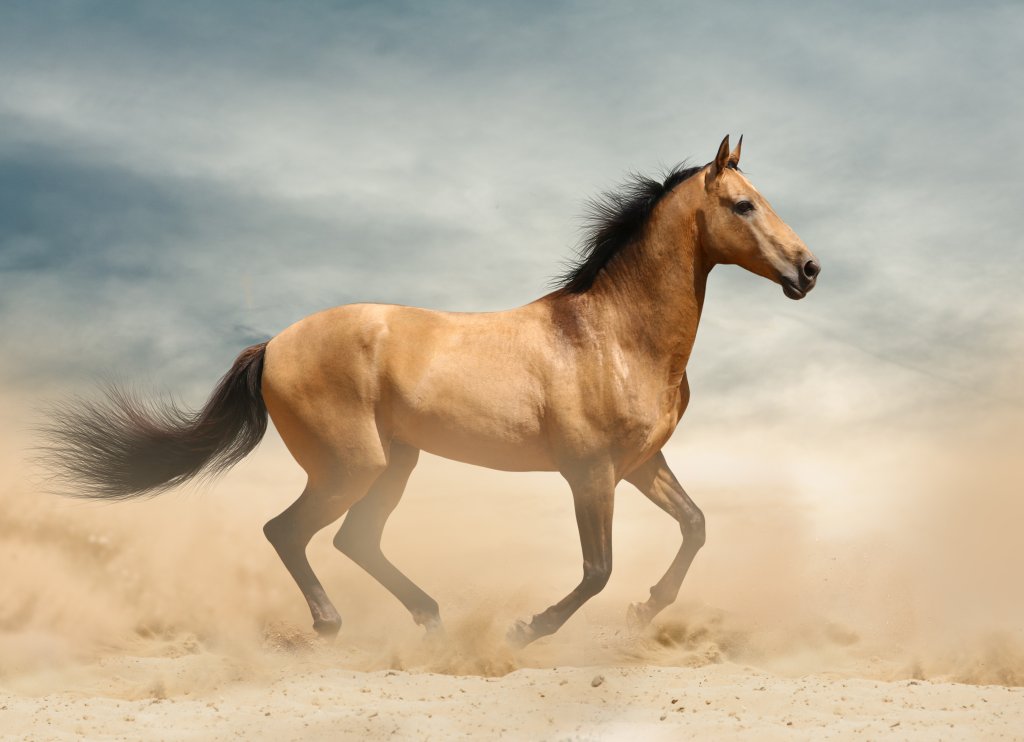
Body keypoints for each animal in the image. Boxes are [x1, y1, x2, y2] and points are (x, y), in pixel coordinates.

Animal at [43, 135, 819, 646]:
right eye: (743, 206)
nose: (809, 270)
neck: (612, 335)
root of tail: (273, 346)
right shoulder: (590, 473)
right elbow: (597, 569)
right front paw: (527, 629)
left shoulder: (641, 464)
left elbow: (695, 525)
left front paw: (642, 611)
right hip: (352, 465)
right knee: (288, 531)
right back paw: (336, 626)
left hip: (396, 462)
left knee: (352, 539)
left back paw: (430, 619)